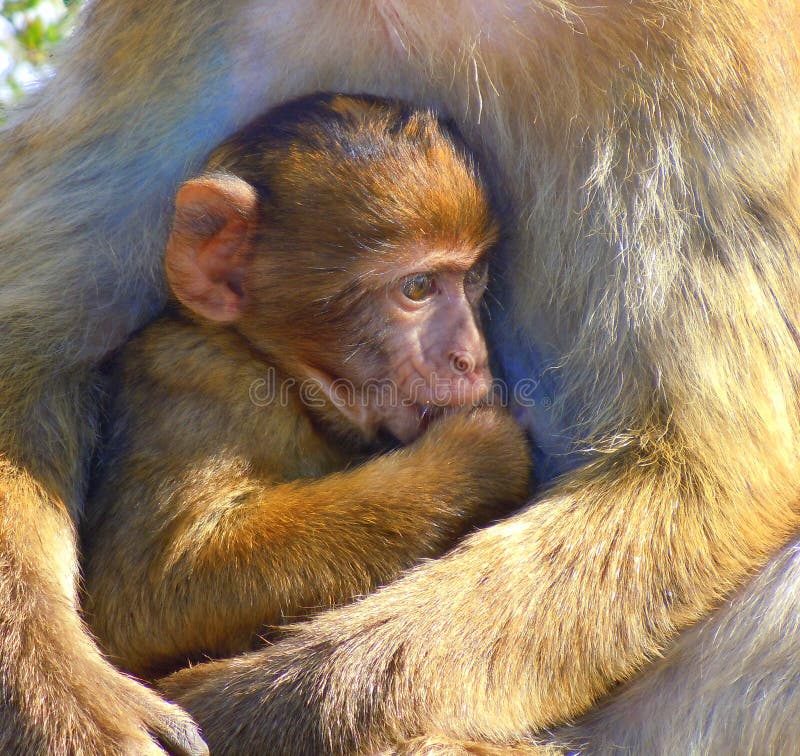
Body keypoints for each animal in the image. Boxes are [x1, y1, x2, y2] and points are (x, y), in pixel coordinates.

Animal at [80, 92, 531, 680]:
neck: (278, 370)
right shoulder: (197, 380)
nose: (472, 357)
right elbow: (151, 586)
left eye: (473, 277)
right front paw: (474, 457)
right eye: (418, 287)